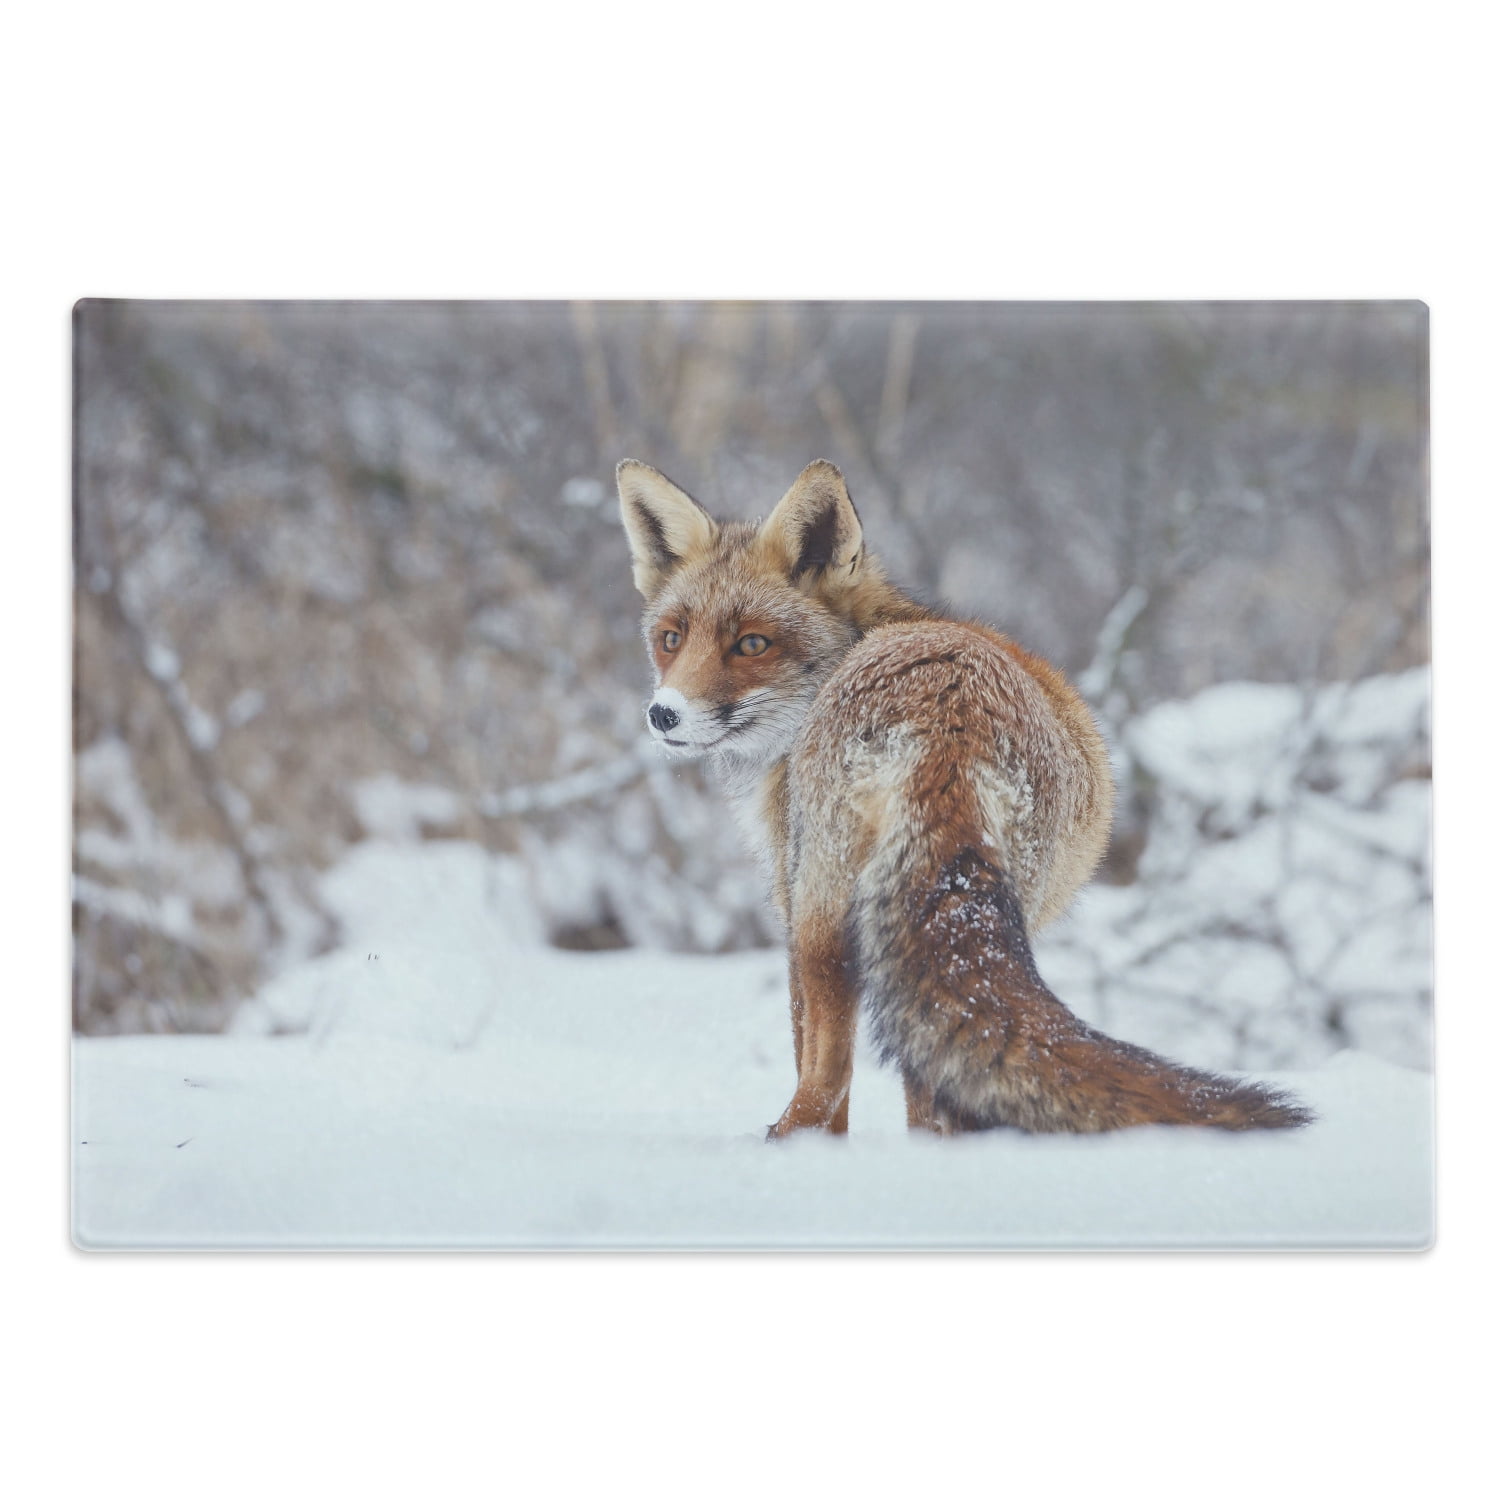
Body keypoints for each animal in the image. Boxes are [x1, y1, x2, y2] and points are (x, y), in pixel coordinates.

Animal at [618, 457, 1313, 1138]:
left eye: (752, 644)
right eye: (672, 638)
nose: (663, 714)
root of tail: (951, 713)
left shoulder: (792, 907)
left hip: (827, 920)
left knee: (826, 1082)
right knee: (938, 1083)